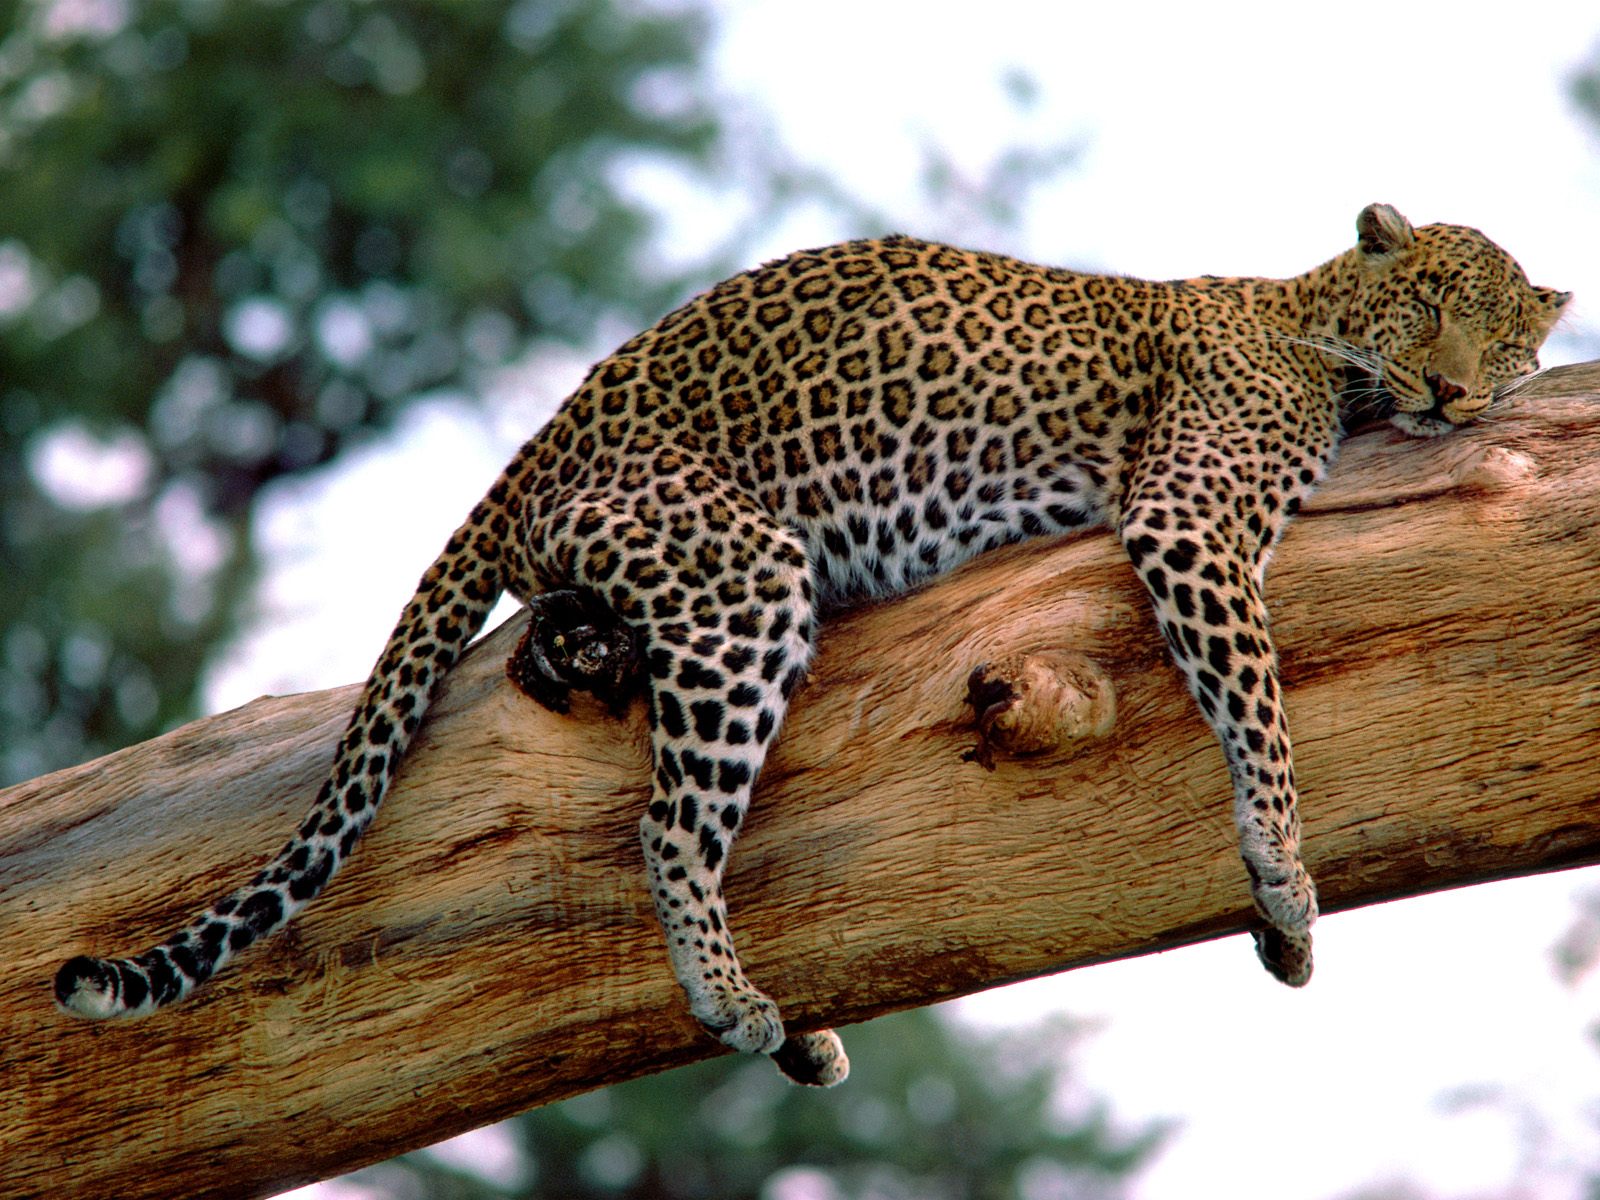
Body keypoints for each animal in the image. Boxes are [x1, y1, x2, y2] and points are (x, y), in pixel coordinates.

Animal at [54, 203, 1569, 1089]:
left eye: (1502, 337)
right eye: (1431, 303)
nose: (1454, 393)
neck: (1310, 322)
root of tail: (539, 438)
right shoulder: (1188, 521)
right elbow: (1260, 715)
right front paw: (1286, 881)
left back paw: (789, 1030)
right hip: (741, 577)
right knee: (666, 825)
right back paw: (735, 1006)